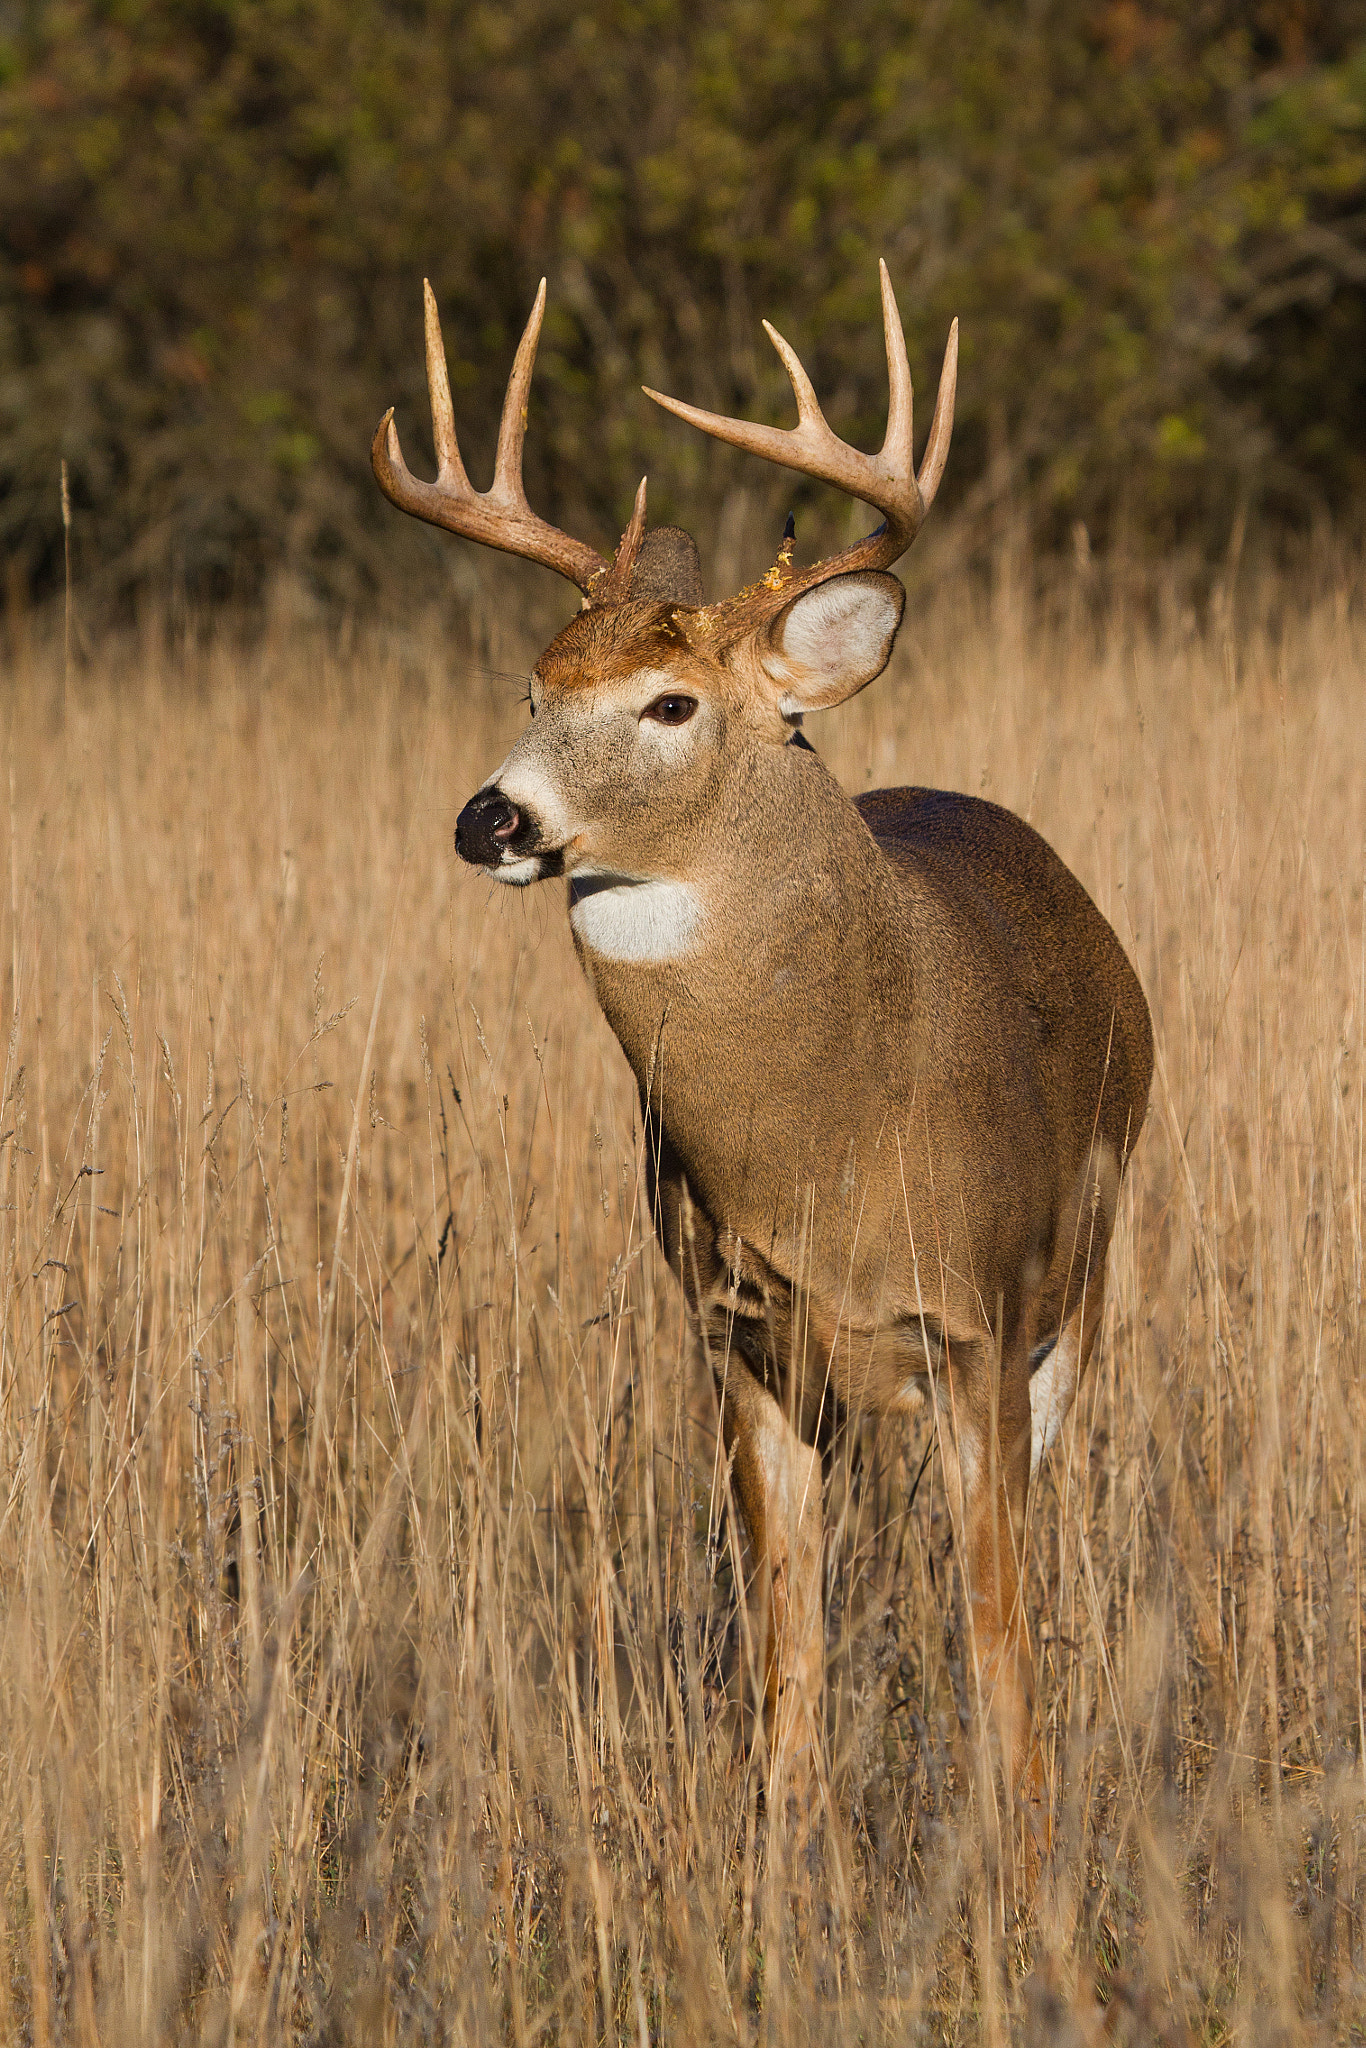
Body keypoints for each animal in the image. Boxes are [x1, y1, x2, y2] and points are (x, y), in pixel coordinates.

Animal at [372, 265, 1153, 1878]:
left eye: (670, 703)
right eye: (535, 685)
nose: (491, 817)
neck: (827, 1141)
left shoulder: (979, 1322)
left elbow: (999, 1632)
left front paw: (1025, 1860)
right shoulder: (736, 1334)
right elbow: (786, 1640)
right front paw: (780, 1863)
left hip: (1083, 1291)